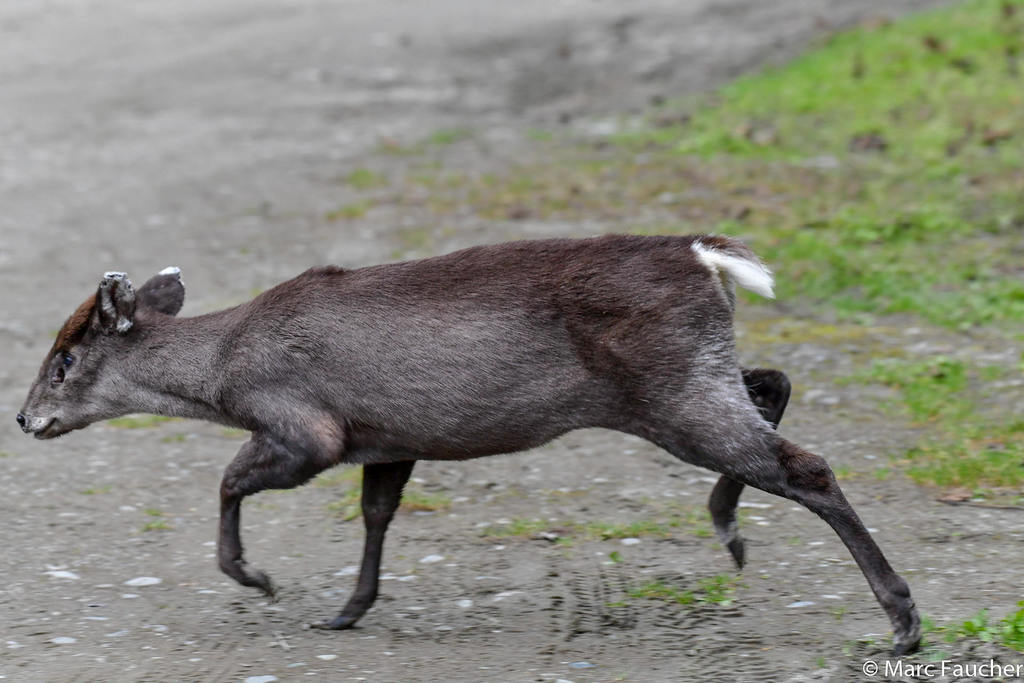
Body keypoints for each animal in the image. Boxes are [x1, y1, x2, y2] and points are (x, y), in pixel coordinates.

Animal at [17, 234, 921, 654]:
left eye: (63, 360)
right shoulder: (386, 436)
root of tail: (706, 258)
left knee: (807, 465)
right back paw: (730, 528)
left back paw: (903, 618)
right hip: (693, 380)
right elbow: (377, 514)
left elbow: (229, 481)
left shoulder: (308, 427)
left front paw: (256, 576)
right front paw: (348, 608)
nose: (25, 420)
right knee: (771, 384)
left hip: (670, 396)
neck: (222, 374)